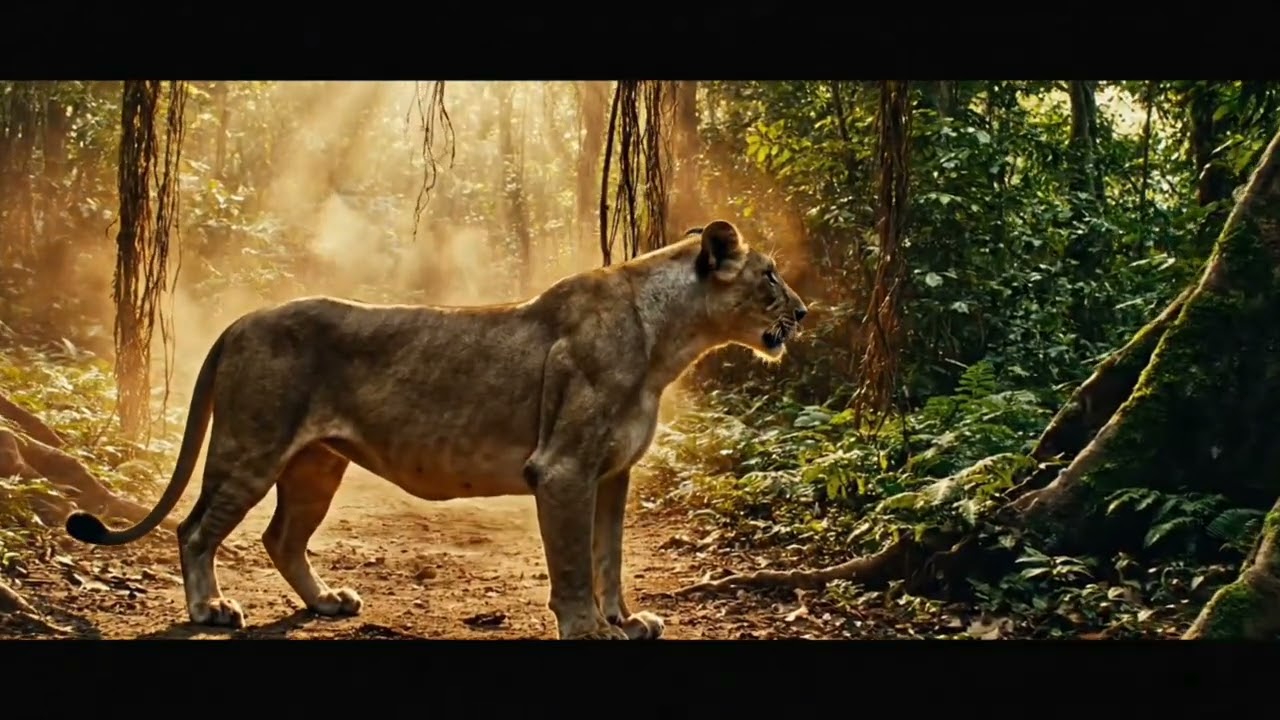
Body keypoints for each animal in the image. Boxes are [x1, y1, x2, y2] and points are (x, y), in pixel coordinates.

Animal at [65, 219, 809, 640]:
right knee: (194, 529)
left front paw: (626, 622)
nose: (804, 312)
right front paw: (588, 629)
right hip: (252, 445)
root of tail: (240, 320)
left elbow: (609, 555)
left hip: (315, 464)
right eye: (770, 276)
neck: (670, 342)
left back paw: (327, 602)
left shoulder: (612, 473)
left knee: (281, 537)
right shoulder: (564, 469)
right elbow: (574, 562)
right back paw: (211, 611)